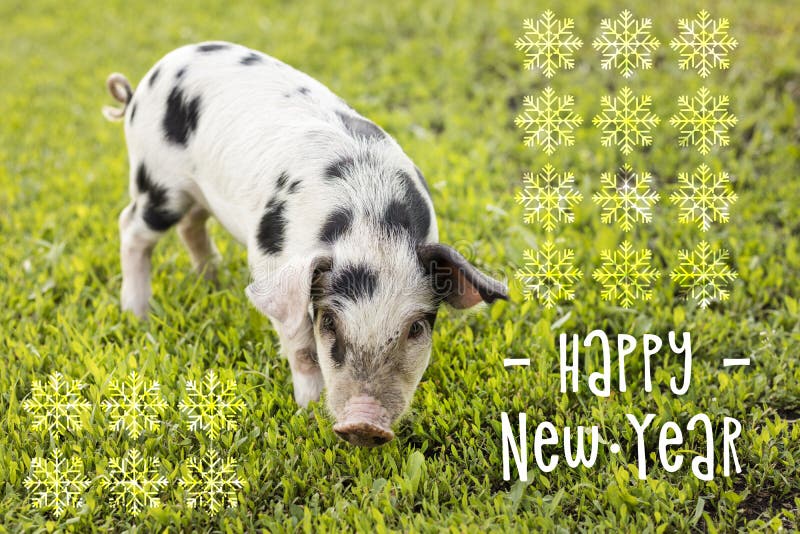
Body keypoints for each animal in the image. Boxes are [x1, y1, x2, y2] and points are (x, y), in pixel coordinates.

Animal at [103, 41, 508, 446]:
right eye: (329, 322)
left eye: (417, 328)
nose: (363, 423)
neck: (371, 226)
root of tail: (149, 80)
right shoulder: (270, 261)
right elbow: (300, 344)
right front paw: (310, 411)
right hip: (158, 182)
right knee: (130, 226)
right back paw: (137, 314)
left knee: (191, 225)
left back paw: (214, 282)